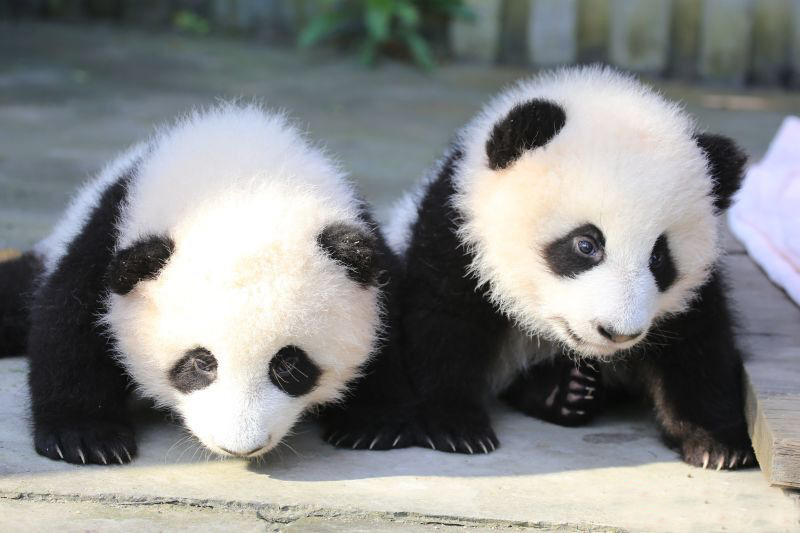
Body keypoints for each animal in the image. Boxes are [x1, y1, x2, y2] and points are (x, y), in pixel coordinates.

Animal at [0, 104, 392, 465]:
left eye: (288, 365)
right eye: (202, 362)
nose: (240, 447)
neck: (241, 180)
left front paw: (370, 426)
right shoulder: (108, 233)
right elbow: (70, 321)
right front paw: (87, 439)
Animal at [324, 67, 755, 470]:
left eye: (659, 258)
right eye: (586, 244)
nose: (617, 332)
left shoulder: (693, 292)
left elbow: (697, 347)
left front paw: (715, 444)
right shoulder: (458, 227)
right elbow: (444, 317)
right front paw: (456, 427)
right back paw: (564, 393)